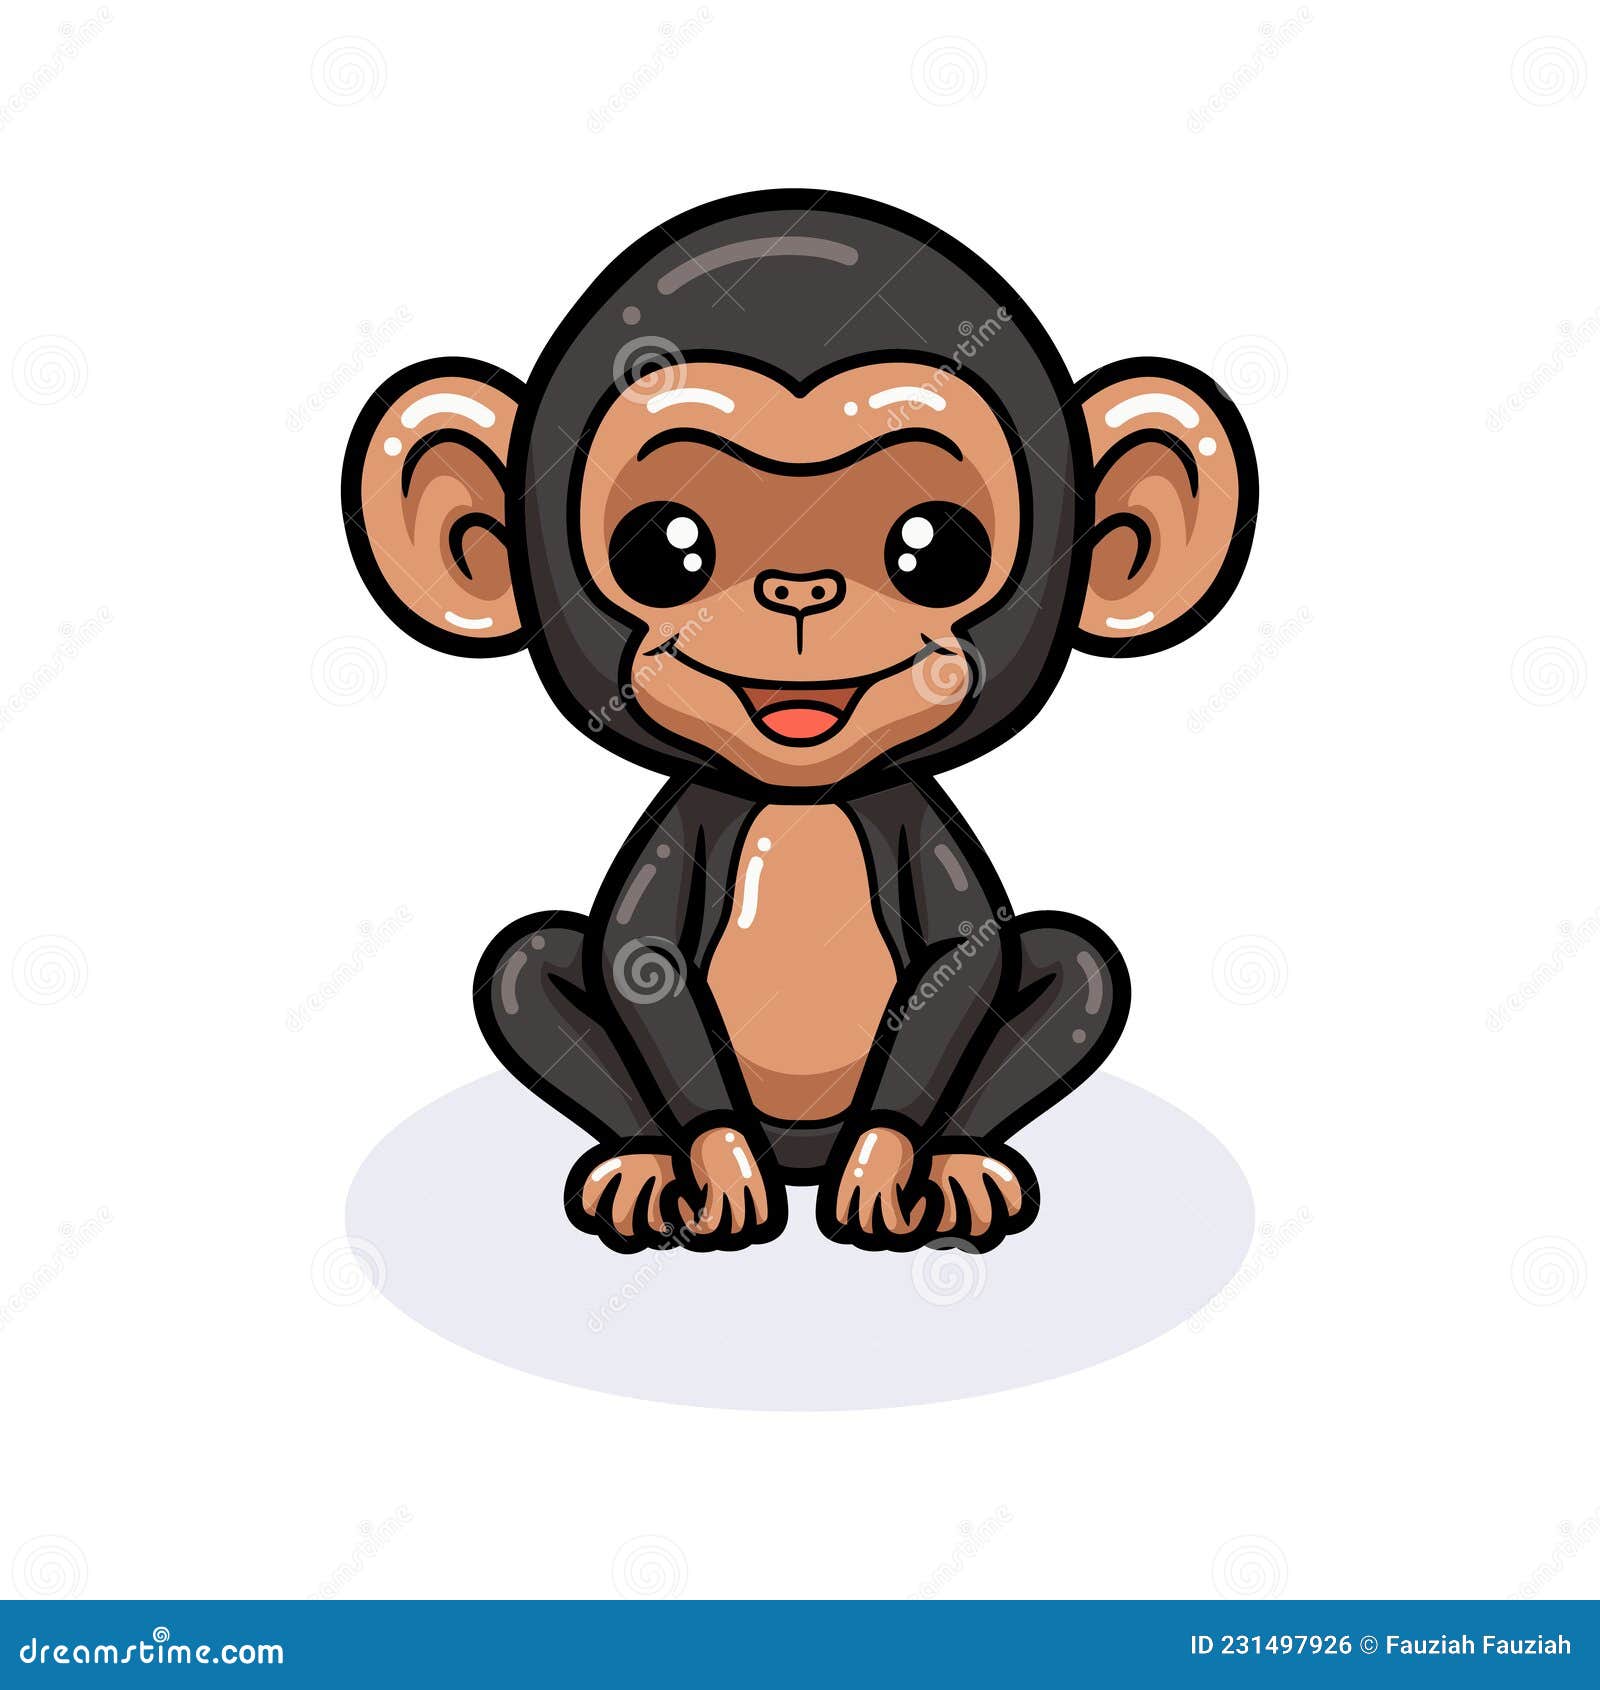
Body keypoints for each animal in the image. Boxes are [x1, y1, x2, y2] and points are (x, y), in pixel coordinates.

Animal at [342, 190, 1257, 1256]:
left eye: (936, 547)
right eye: (663, 547)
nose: (799, 588)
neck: (802, 797)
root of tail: (803, 1157)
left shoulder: (903, 809)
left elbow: (966, 958)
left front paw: (883, 1166)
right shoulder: (697, 812)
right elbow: (638, 960)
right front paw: (723, 1168)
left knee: (1079, 965)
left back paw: (960, 1167)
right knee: (524, 970)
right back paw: (644, 1169)